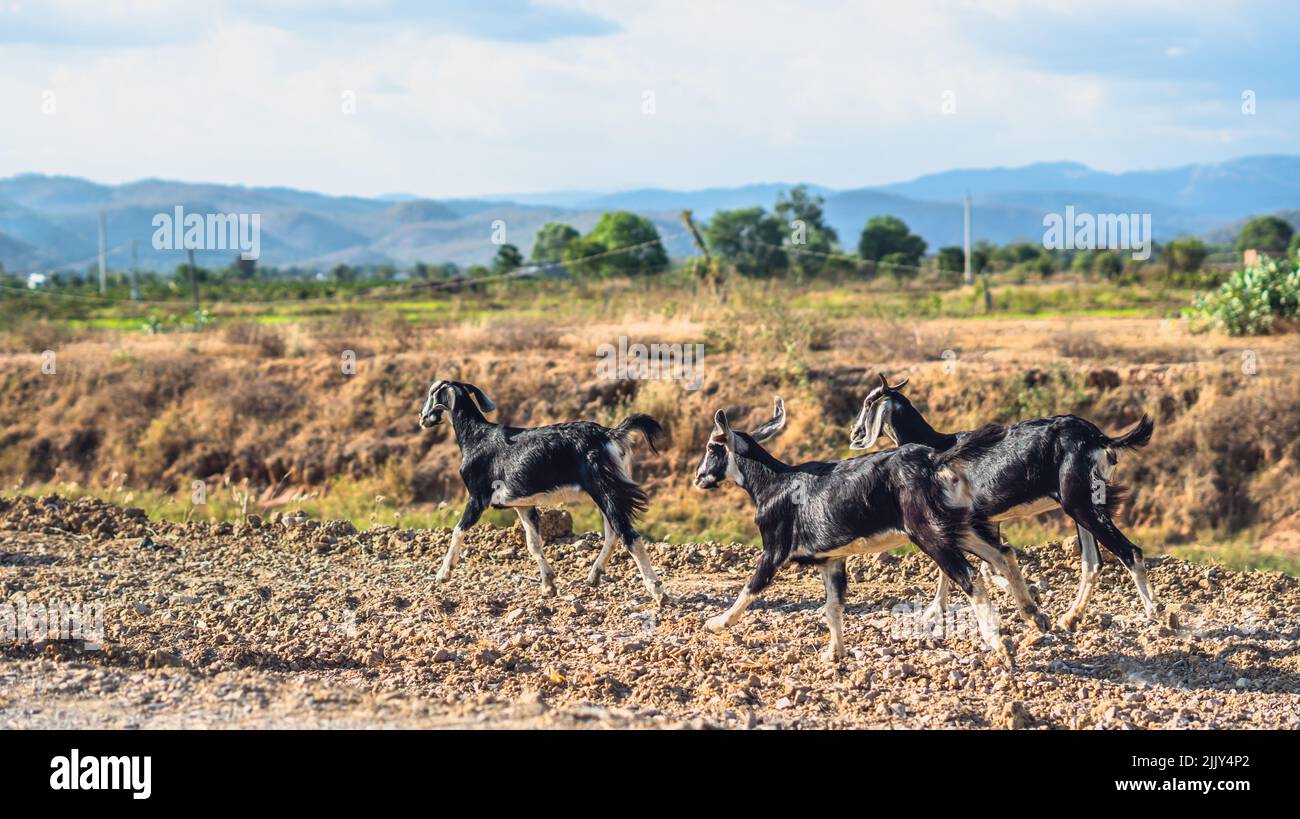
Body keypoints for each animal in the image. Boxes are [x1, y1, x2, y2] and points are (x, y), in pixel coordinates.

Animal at [419, 379, 669, 604]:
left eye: (433, 393)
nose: (421, 418)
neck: (475, 437)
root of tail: (611, 434)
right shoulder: (522, 504)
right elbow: (533, 543)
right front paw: (548, 584)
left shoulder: (478, 497)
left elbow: (458, 530)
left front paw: (443, 573)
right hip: (606, 492)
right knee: (613, 532)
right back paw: (594, 577)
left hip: (605, 489)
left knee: (628, 535)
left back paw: (658, 592)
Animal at [693, 397, 1045, 665]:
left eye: (712, 446)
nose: (698, 477)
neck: (773, 484)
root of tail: (935, 459)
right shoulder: (831, 560)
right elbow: (833, 606)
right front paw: (834, 654)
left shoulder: (774, 548)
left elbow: (751, 587)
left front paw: (716, 623)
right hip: (957, 524)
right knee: (1002, 554)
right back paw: (1033, 614)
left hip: (928, 531)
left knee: (969, 576)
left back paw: (999, 646)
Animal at [849, 374, 1162, 631]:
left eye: (867, 403)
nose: (855, 433)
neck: (936, 445)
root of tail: (1098, 437)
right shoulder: (983, 521)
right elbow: (990, 563)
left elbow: (964, 567)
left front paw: (934, 612)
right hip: (1080, 506)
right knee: (1092, 562)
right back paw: (1070, 618)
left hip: (1081, 504)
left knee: (1129, 551)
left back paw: (1153, 615)